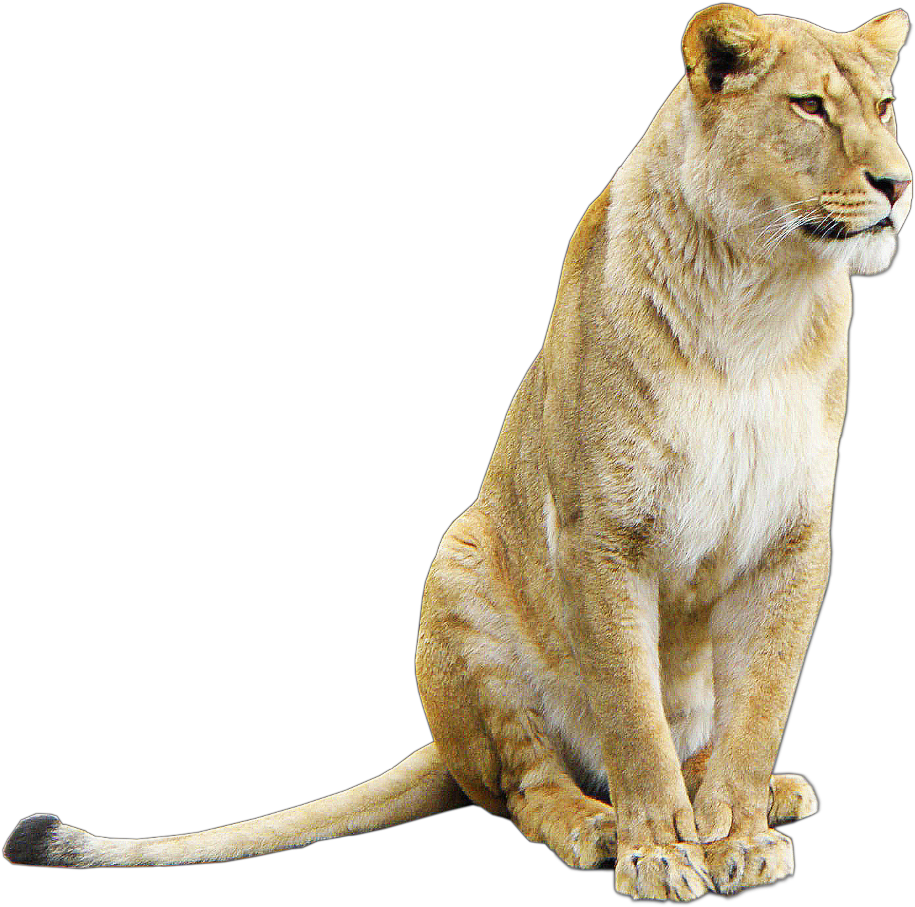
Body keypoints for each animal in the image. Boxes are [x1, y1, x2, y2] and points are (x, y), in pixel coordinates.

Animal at [5, 5, 910, 900]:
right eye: (808, 107)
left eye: (884, 108)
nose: (896, 185)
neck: (758, 297)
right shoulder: (599, 534)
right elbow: (630, 712)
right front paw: (658, 850)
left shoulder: (792, 540)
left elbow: (759, 705)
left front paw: (740, 833)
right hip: (460, 570)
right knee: (523, 785)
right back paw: (597, 824)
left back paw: (761, 792)